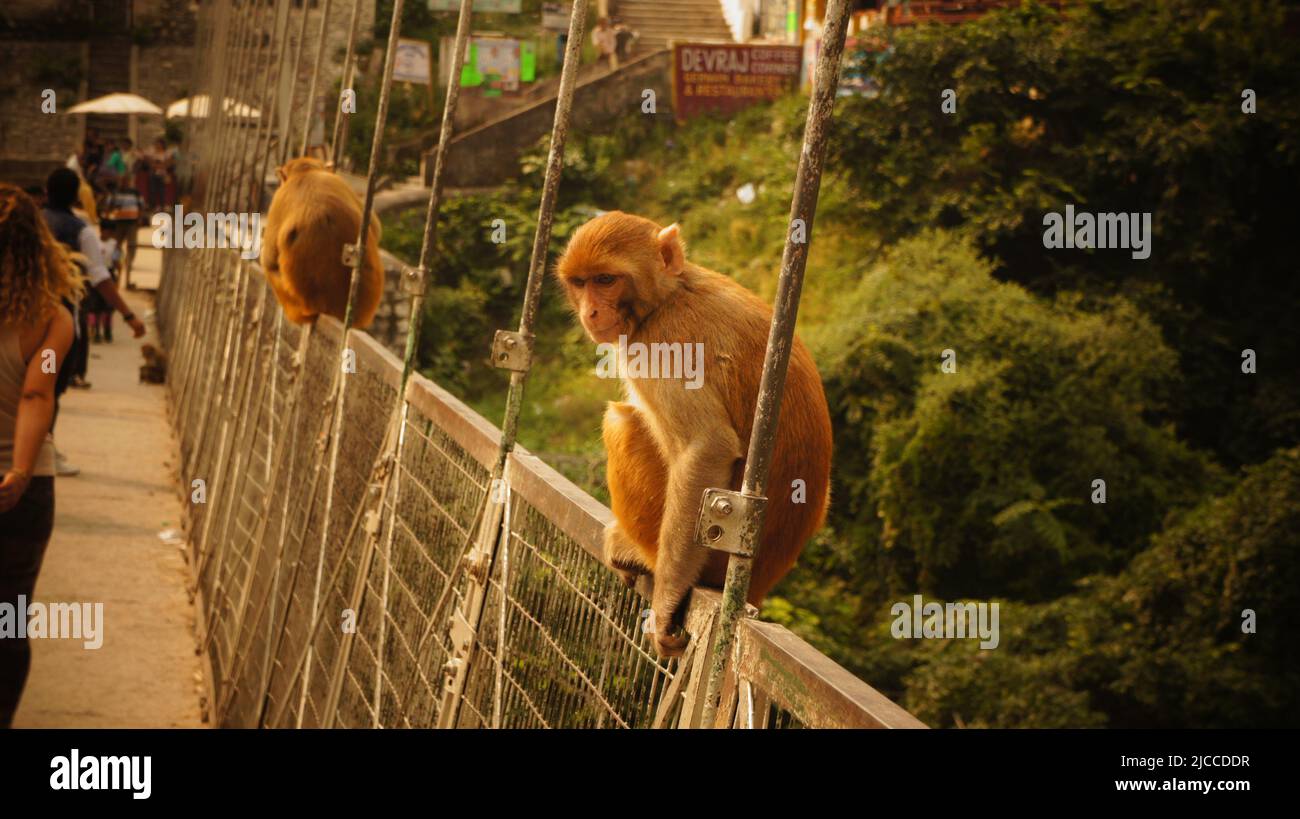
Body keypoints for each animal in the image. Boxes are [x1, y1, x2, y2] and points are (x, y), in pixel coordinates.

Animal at [554, 212, 833, 657]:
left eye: (606, 280)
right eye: (581, 283)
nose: (591, 312)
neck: (670, 294)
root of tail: (759, 581)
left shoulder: (661, 341)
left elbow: (706, 448)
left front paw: (666, 601)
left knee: (620, 421)